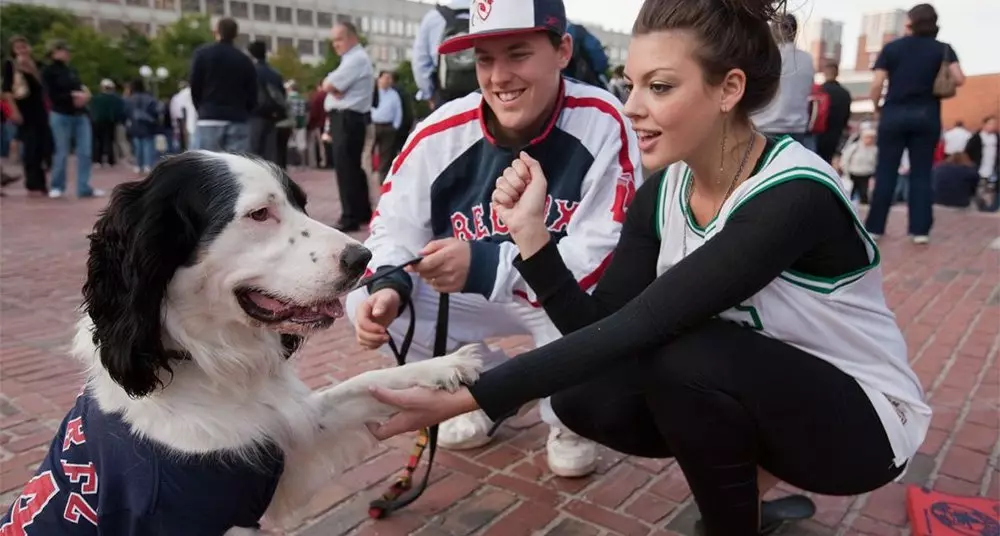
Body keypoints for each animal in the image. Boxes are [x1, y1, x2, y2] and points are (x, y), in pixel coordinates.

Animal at [0, 152, 480, 536]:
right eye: (259, 214)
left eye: (301, 204)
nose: (363, 258)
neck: (204, 359)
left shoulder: (283, 444)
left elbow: (364, 383)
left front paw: (444, 366)